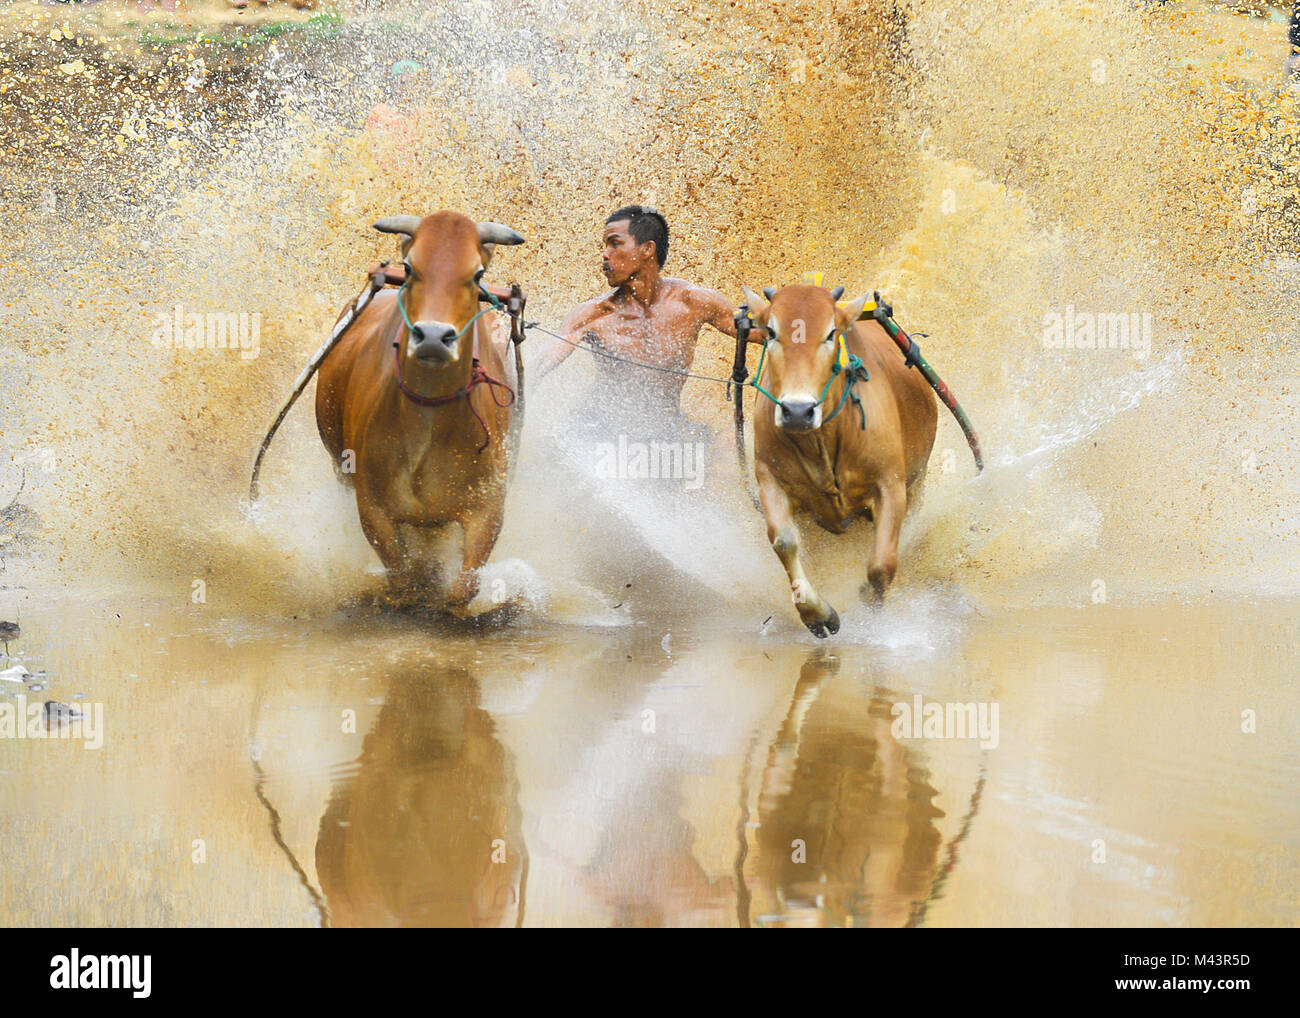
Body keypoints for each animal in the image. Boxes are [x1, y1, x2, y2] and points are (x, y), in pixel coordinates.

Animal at [315, 211, 525, 613]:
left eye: (477, 274)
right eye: (411, 268)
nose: (432, 337)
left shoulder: (488, 508)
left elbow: (463, 588)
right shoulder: (372, 508)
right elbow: (403, 579)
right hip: (338, 467)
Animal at [741, 283, 937, 637]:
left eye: (831, 333)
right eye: (771, 331)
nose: (798, 411)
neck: (820, 441)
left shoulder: (891, 485)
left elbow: (882, 564)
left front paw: (869, 603)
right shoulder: (769, 479)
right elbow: (784, 542)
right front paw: (816, 613)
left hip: (918, 483)